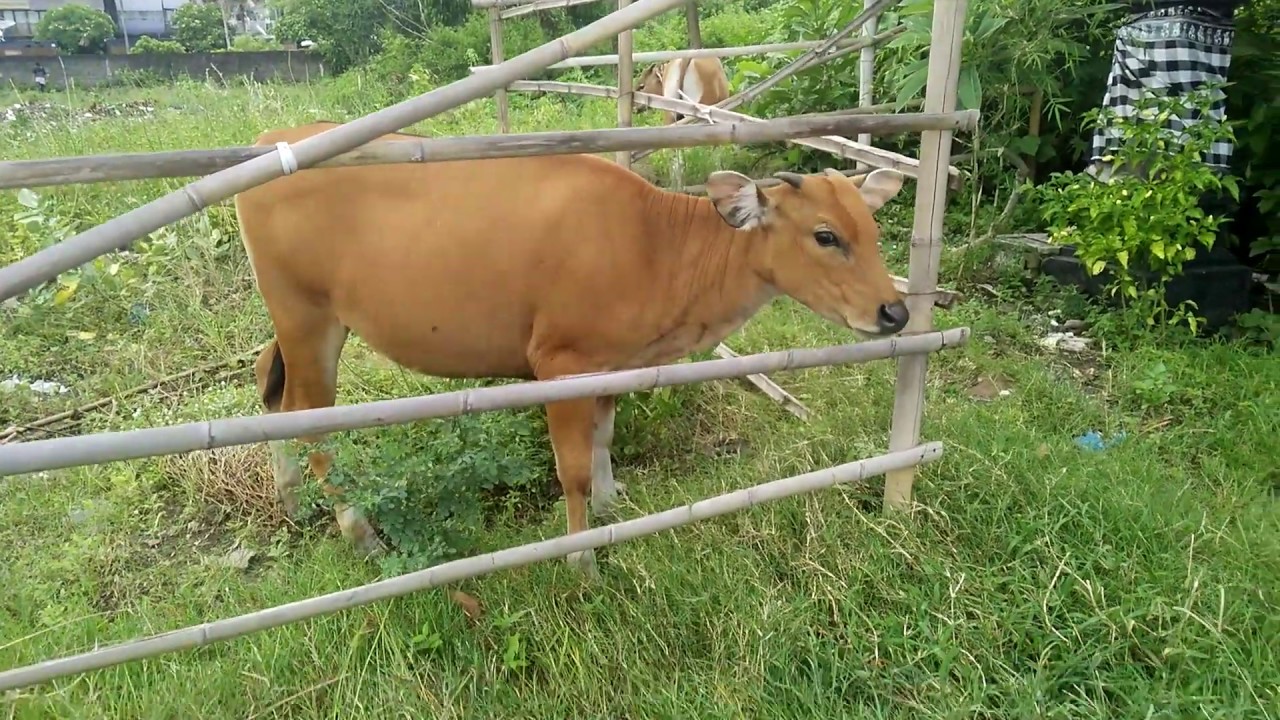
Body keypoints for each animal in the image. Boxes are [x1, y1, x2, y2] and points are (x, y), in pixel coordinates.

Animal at [233, 121, 910, 581]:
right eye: (825, 235)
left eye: (871, 229)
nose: (895, 312)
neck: (655, 244)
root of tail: (274, 137)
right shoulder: (560, 363)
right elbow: (574, 469)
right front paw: (582, 561)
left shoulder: (612, 364)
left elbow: (604, 440)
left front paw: (614, 505)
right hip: (307, 316)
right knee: (313, 421)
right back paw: (361, 535)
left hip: (302, 322)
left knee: (272, 387)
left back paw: (290, 500)